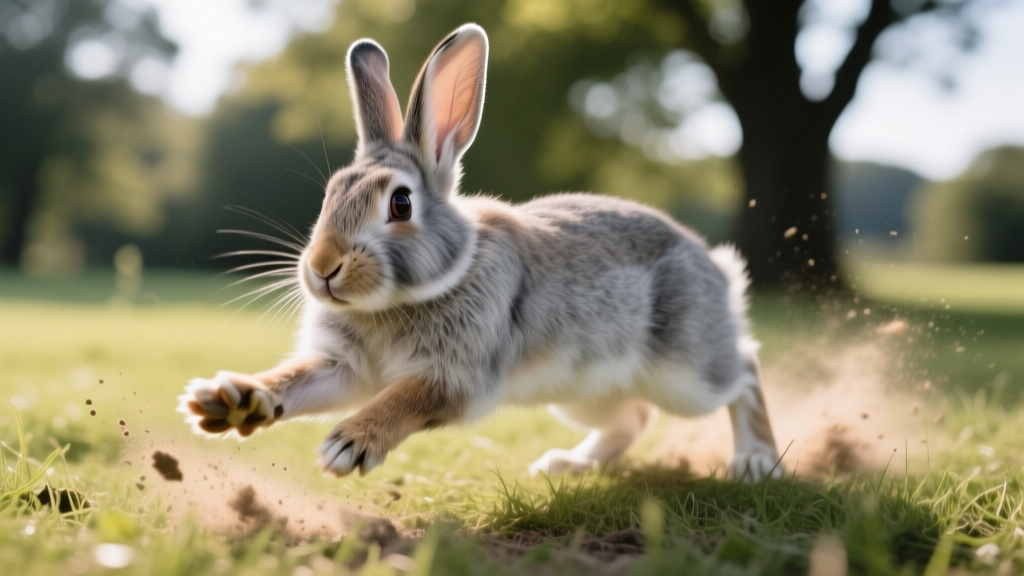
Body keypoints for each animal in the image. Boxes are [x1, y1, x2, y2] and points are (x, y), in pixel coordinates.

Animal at [178, 23, 782, 482]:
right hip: (585, 391)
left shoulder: (456, 375)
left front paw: (348, 444)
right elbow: (300, 382)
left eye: (400, 203)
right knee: (631, 414)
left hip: (687, 374)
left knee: (745, 370)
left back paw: (755, 462)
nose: (323, 268)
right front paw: (231, 399)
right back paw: (566, 465)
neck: (405, 297)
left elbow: (405, 398)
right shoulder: (344, 367)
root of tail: (714, 268)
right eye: (331, 193)